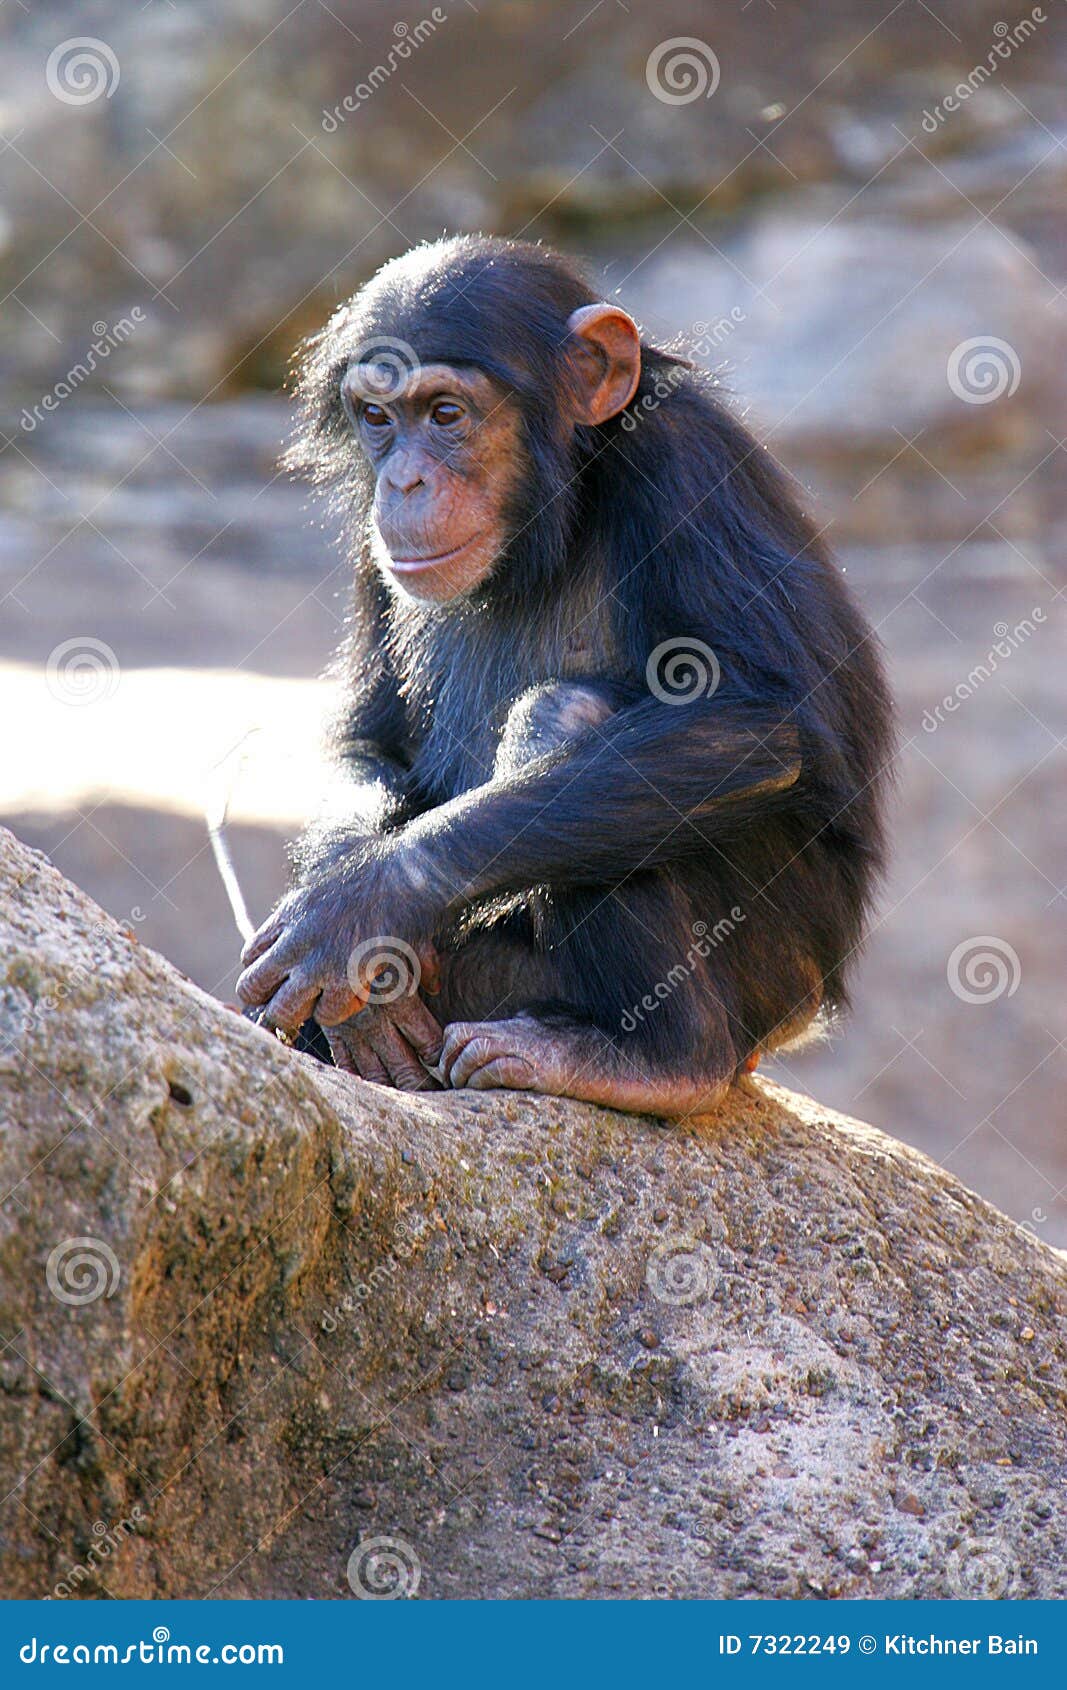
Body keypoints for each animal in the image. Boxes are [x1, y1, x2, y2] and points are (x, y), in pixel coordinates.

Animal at [236, 234, 894, 1117]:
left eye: (445, 414)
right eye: (377, 417)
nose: (403, 480)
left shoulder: (688, 462)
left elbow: (754, 718)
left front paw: (361, 908)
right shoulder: (373, 562)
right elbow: (374, 743)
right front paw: (358, 943)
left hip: (773, 975)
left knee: (568, 716)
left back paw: (654, 1060)